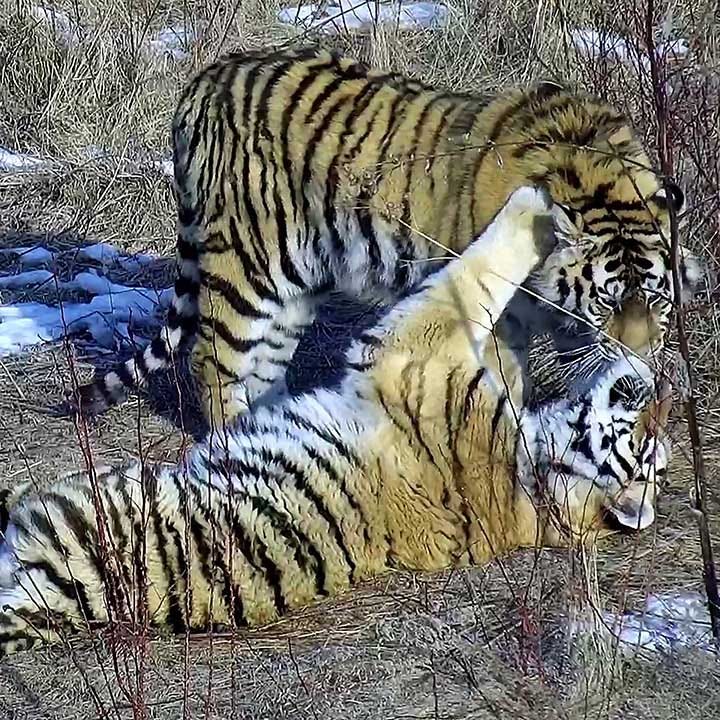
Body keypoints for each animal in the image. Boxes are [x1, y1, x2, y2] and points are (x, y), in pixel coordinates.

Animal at [1, 188, 671, 657]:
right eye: (652, 436)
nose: (659, 382)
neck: (538, 478)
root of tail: (49, 609)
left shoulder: (416, 350)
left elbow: (480, 272)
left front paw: (535, 201)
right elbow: (491, 304)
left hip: (68, 505)